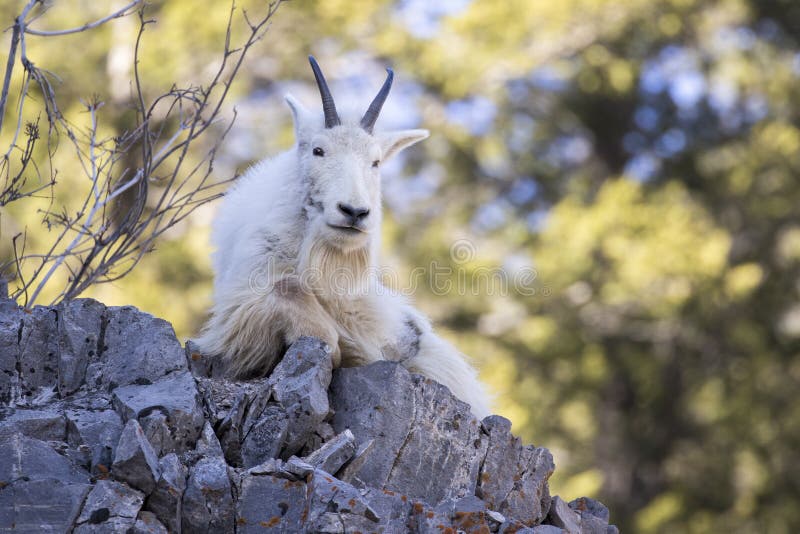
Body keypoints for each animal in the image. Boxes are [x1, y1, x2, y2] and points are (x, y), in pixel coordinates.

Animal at [195, 56, 490, 419]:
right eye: (318, 150)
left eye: (376, 161)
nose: (354, 212)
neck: (316, 252)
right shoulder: (244, 298)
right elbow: (294, 298)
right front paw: (332, 347)